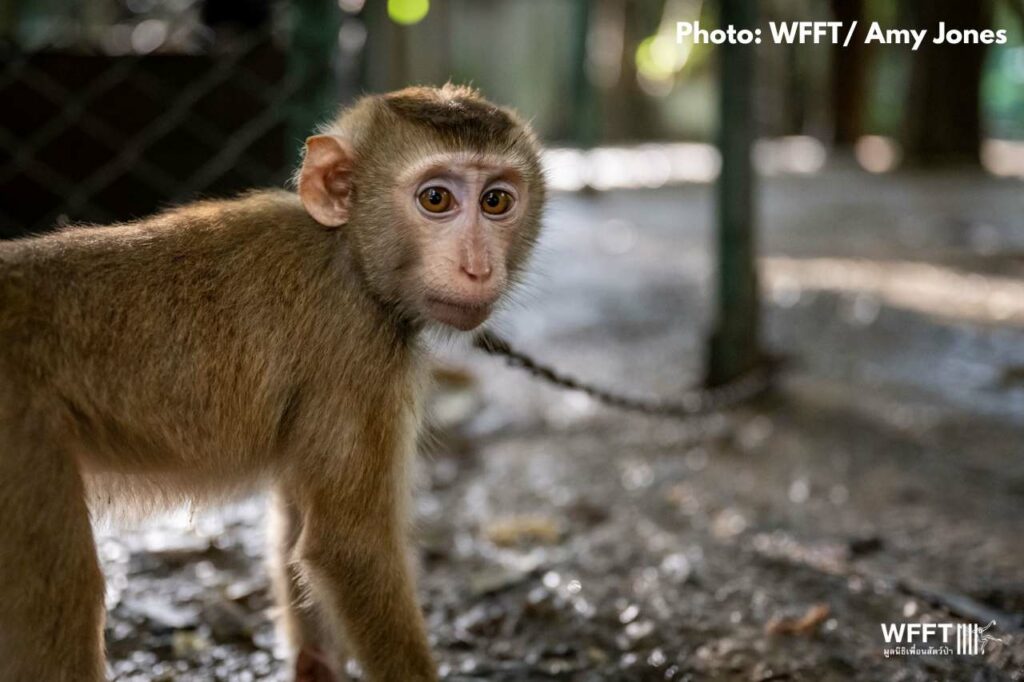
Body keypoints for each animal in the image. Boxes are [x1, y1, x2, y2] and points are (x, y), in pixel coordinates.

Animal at [0, 84, 545, 682]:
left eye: (495, 202)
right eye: (437, 199)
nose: (478, 268)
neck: (347, 248)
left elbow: (298, 515)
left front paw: (315, 665)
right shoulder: (358, 347)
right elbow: (348, 547)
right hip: (19, 437)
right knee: (64, 590)